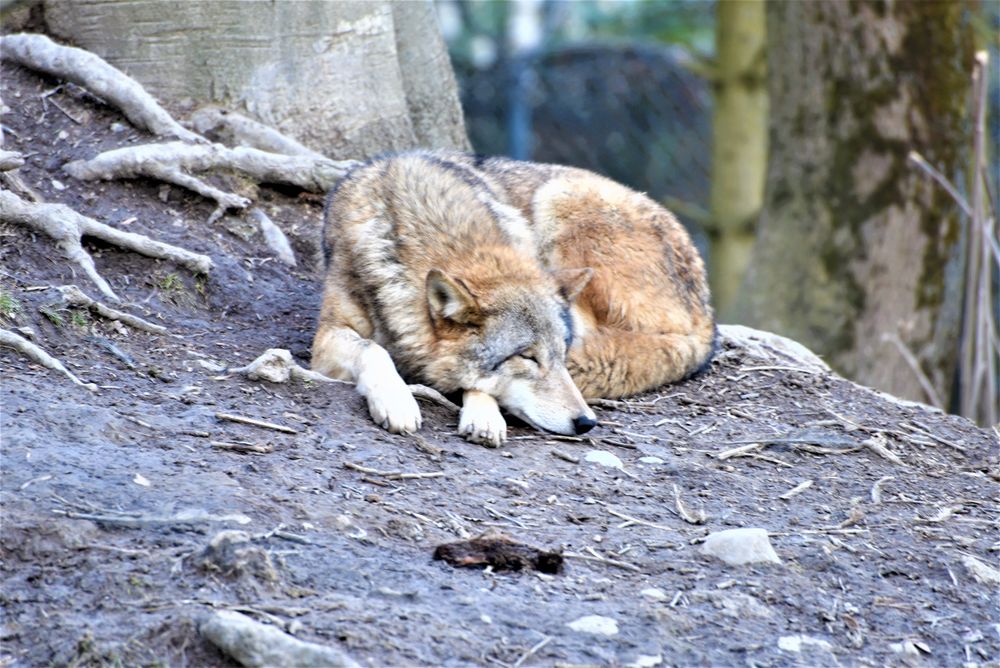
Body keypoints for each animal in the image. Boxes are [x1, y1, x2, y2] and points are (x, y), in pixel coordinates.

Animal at [311, 151, 715, 446]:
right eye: (527, 357)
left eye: (559, 356)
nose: (587, 421)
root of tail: (708, 325)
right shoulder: (327, 335)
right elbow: (373, 350)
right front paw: (396, 400)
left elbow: (477, 381)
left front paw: (484, 414)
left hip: (559, 201)